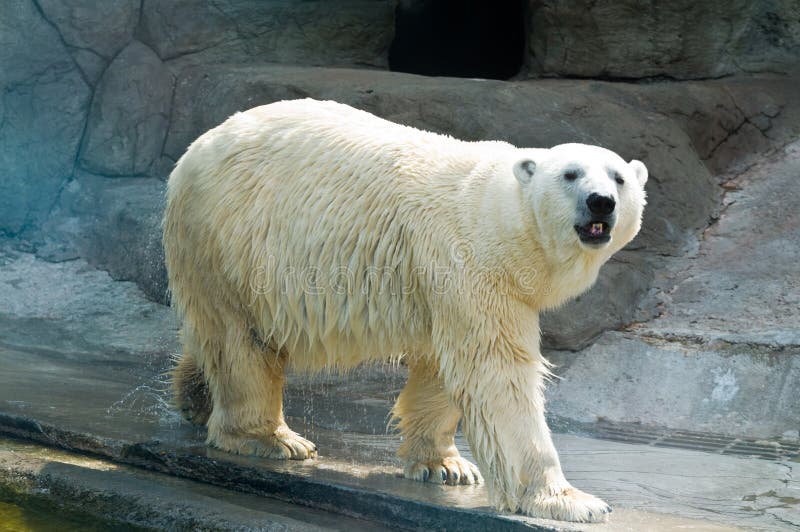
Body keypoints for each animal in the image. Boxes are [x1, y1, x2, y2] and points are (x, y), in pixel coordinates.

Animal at [163, 99, 647, 523]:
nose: (601, 201)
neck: (492, 215)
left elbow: (442, 366)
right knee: (241, 339)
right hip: (230, 236)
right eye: (570, 174)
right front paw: (572, 501)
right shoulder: (468, 264)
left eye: (620, 178)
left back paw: (195, 397)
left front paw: (447, 467)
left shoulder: (445, 282)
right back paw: (271, 438)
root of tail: (198, 146)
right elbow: (496, 370)